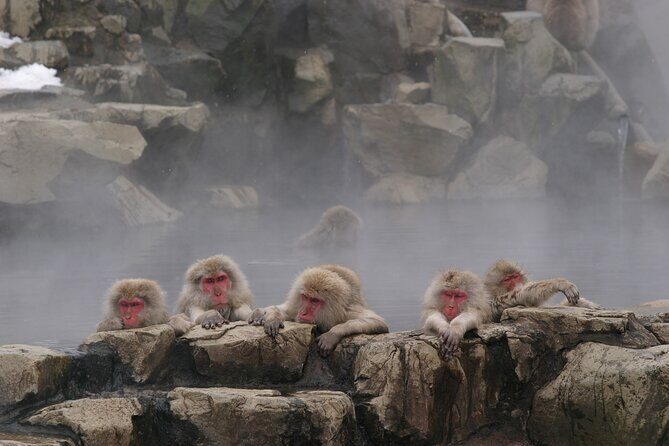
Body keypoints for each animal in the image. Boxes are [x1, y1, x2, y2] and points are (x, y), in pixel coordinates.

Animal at [249, 264, 388, 356]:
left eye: (315, 301)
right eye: (306, 297)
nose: (303, 312)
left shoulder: (346, 312)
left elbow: (378, 322)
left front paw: (333, 333)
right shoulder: (297, 306)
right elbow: (287, 312)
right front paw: (273, 317)